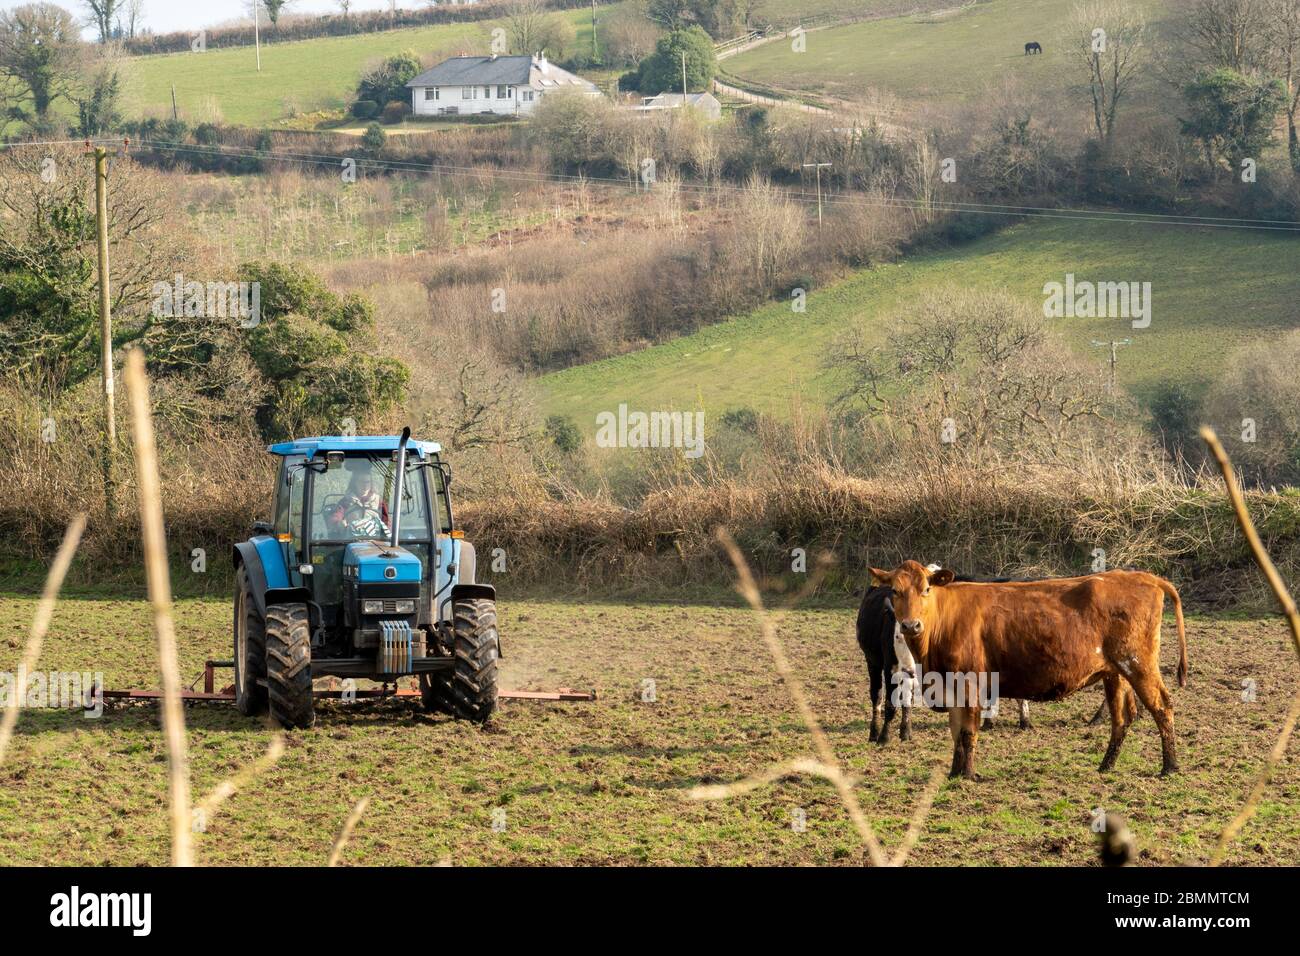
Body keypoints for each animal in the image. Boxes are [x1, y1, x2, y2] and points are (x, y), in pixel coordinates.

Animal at [857, 565, 1029, 745]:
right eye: (898, 636)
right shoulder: (891, 667)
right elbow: (891, 703)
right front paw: (884, 738)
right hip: (873, 661)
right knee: (877, 695)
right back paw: (875, 733)